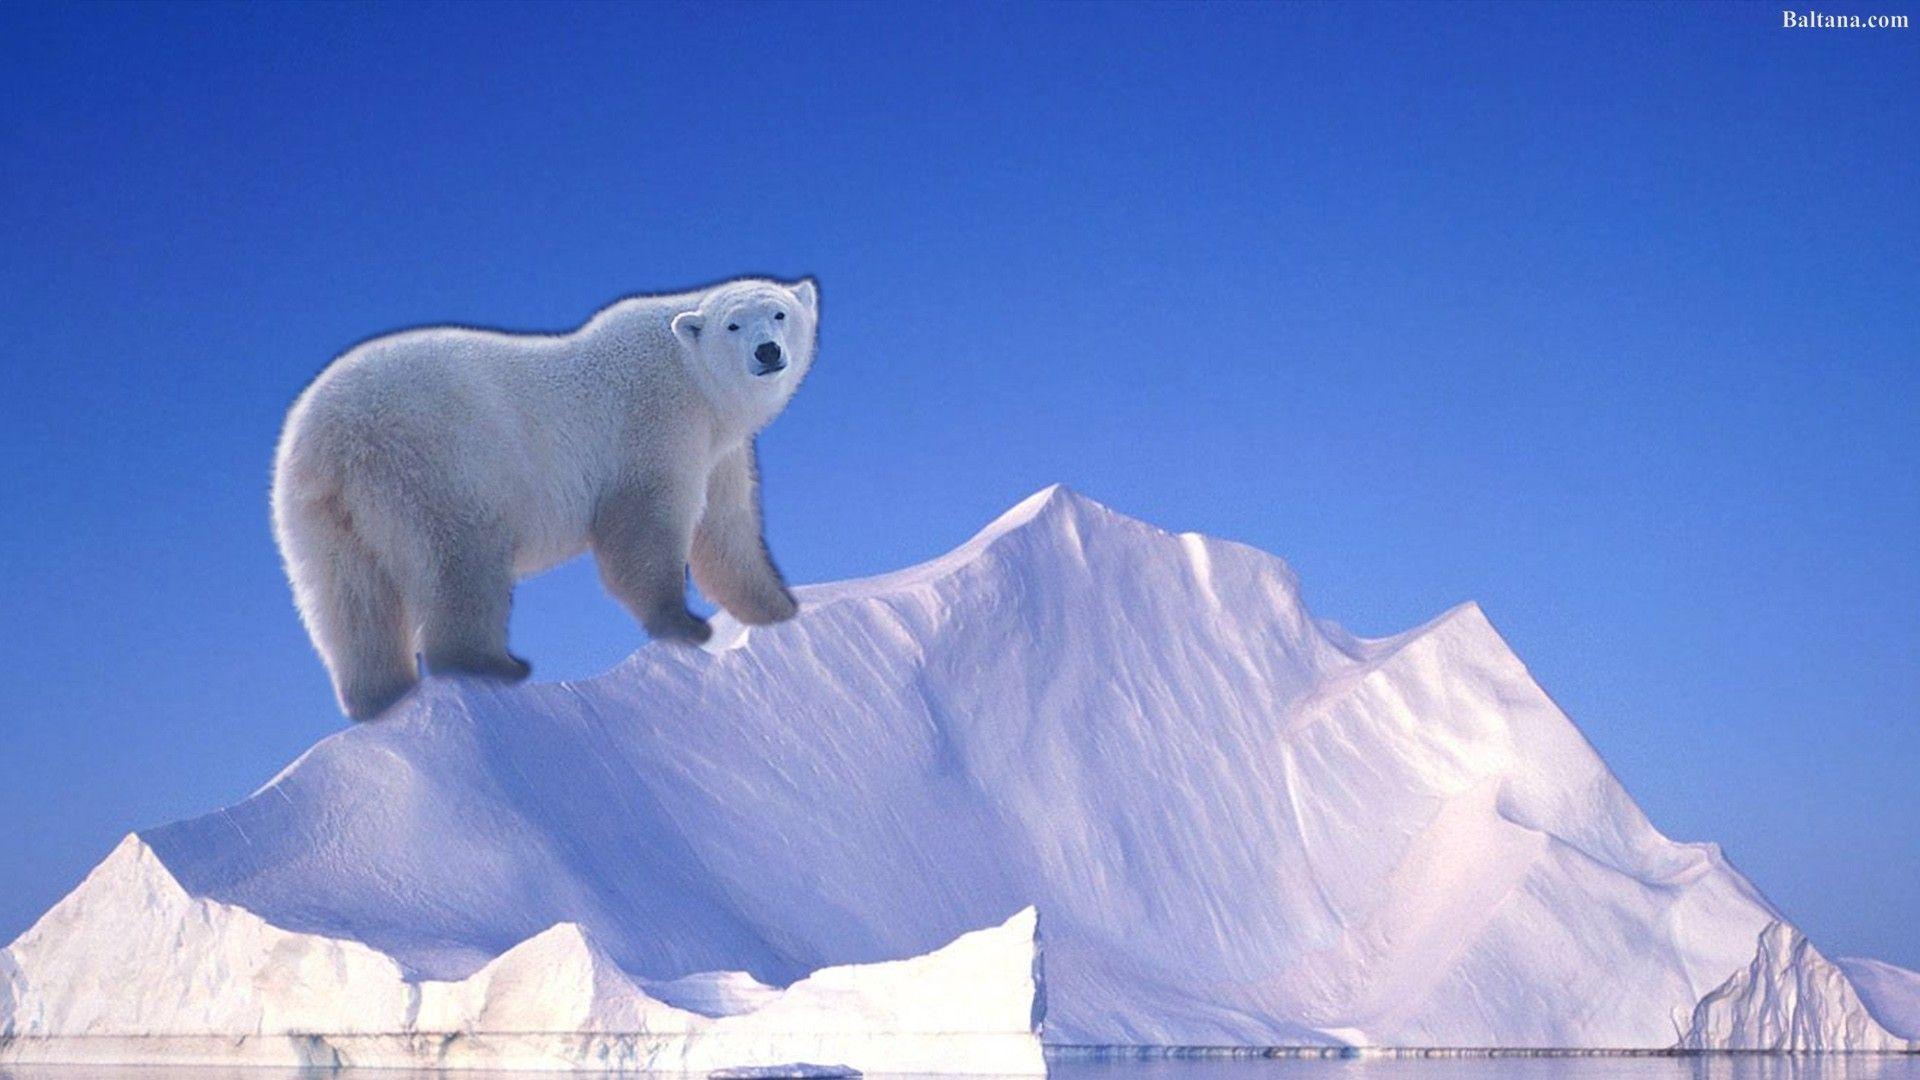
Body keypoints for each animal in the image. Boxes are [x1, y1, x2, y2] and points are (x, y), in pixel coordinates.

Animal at [271, 277, 818, 720]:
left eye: (779, 313)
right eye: (733, 324)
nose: (767, 351)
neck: (690, 375)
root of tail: (336, 439)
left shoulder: (718, 449)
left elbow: (727, 531)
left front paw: (777, 608)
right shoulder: (657, 423)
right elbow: (644, 529)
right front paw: (686, 625)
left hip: (318, 515)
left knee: (349, 602)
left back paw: (383, 697)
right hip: (437, 469)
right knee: (460, 566)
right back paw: (494, 666)